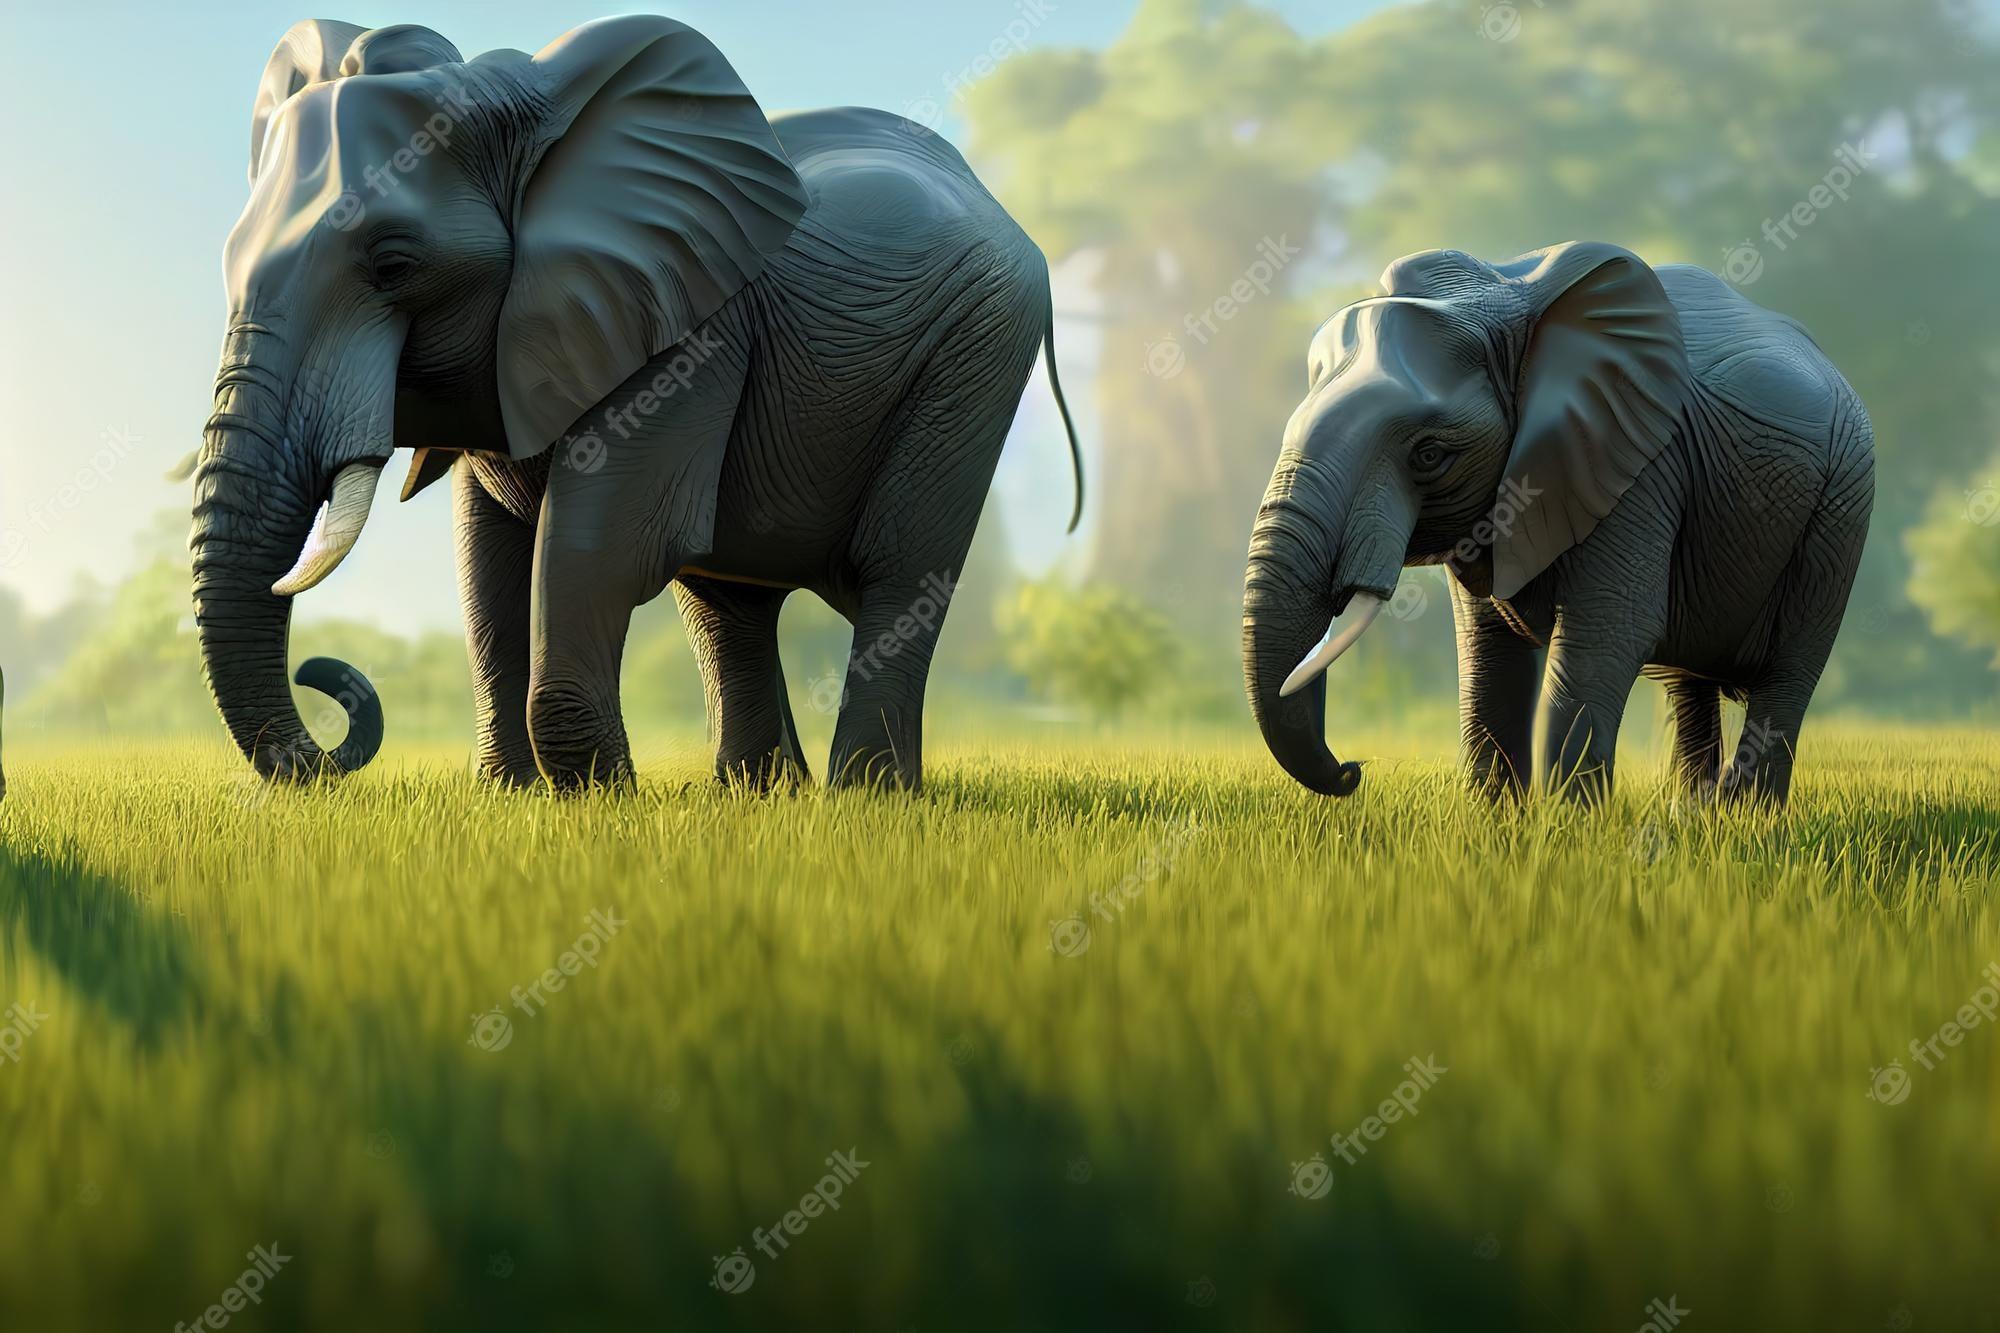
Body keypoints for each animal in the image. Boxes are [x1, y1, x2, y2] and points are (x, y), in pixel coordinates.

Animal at [193, 16, 1079, 792]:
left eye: (392, 265)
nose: (323, 674)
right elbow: (487, 548)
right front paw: (514, 797)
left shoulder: (693, 330)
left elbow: (607, 542)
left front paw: (598, 803)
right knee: (729, 602)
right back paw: (761, 795)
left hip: (975, 352)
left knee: (897, 571)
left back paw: (869, 798)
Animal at [1243, 241, 1873, 804]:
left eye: (1429, 454)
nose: (1353, 770)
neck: (1499, 302)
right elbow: (1488, 650)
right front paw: (1500, 823)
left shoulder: (1639, 463)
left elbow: (1608, 632)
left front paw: (1574, 831)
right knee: (1687, 683)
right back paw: (1696, 813)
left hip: (1842, 506)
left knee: (1788, 673)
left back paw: (1746, 818)